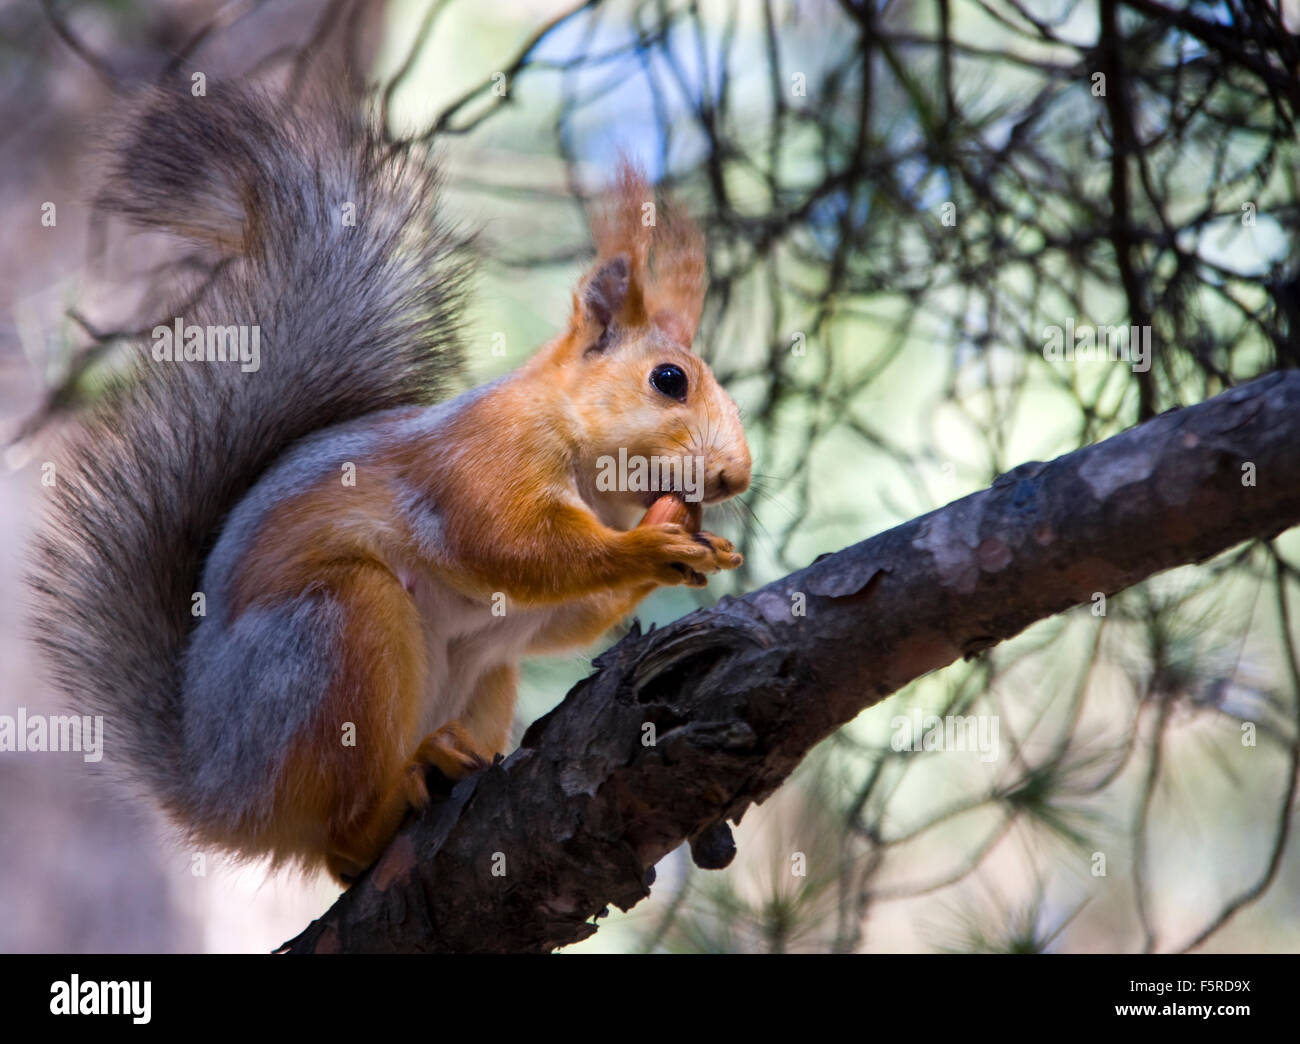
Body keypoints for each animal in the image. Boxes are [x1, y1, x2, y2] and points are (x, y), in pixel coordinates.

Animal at [27, 79, 751, 884]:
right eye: (668, 380)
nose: (736, 474)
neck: (592, 476)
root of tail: (215, 792)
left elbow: (564, 615)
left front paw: (695, 546)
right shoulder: (480, 465)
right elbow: (512, 548)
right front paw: (652, 548)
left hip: (481, 676)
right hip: (335, 639)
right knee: (343, 836)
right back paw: (398, 792)